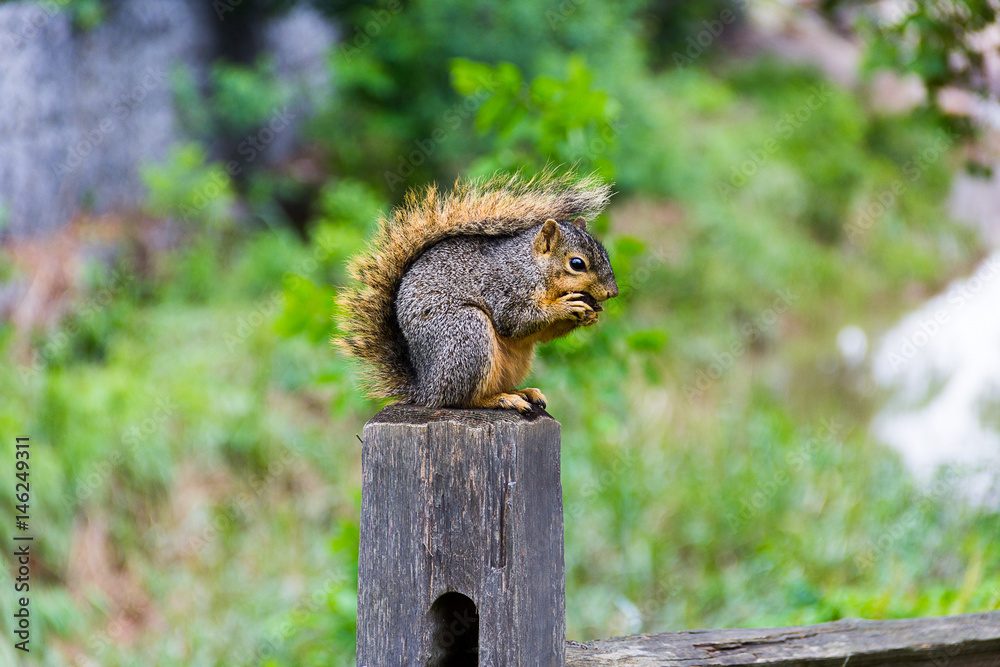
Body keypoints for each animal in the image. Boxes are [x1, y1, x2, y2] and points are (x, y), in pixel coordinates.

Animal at [337, 172, 618, 414]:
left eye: (605, 255)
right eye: (577, 264)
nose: (612, 293)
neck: (533, 266)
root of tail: (425, 388)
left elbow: (541, 334)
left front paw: (591, 314)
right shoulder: (505, 289)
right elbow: (515, 321)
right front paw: (566, 307)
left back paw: (522, 392)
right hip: (467, 334)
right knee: (461, 399)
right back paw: (501, 399)